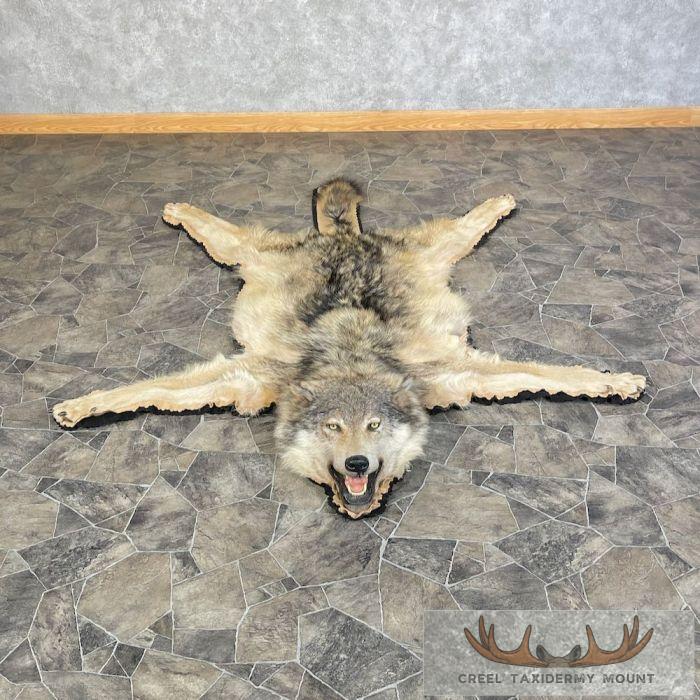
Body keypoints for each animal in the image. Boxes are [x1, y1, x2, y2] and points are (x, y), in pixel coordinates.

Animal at [53, 179, 646, 517]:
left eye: (374, 426)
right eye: (332, 427)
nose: (358, 461)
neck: (349, 358)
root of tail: (342, 235)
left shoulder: (448, 371)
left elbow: (555, 372)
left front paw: (616, 382)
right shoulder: (255, 375)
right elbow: (144, 387)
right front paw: (83, 404)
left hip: (433, 252)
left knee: (465, 225)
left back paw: (498, 201)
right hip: (249, 256)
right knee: (224, 231)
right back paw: (180, 209)